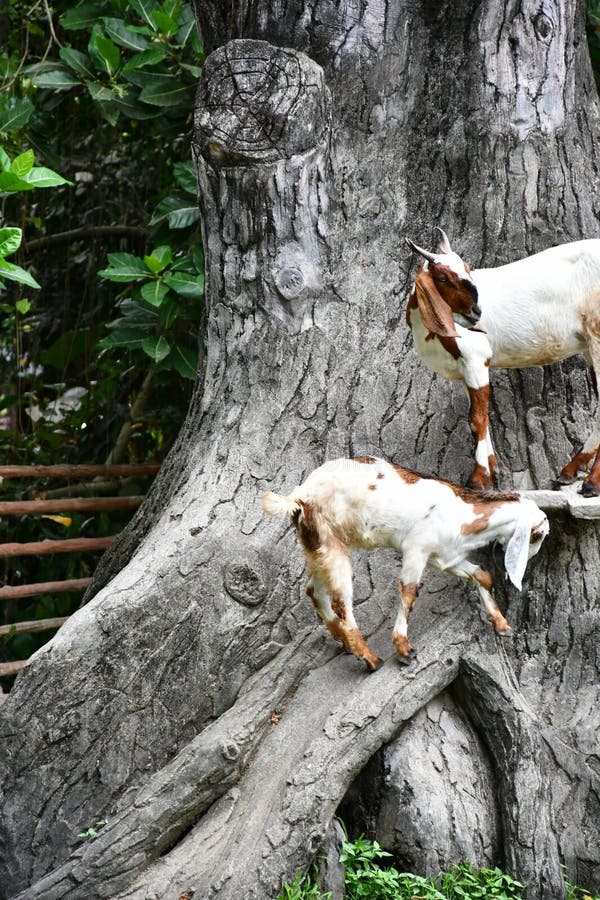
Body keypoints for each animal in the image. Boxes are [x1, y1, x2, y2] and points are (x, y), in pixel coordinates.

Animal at [262, 456, 548, 671]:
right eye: (537, 535)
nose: (533, 559)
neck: (463, 516)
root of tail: (299, 497)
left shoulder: (444, 557)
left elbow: (482, 575)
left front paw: (501, 625)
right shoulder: (416, 550)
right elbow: (409, 593)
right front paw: (403, 648)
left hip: (318, 549)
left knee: (313, 590)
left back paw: (342, 639)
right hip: (331, 547)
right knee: (341, 603)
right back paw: (369, 658)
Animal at [405, 229, 600, 495]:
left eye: (467, 269)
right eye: (443, 277)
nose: (477, 312)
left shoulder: (476, 359)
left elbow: (477, 419)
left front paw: (479, 479)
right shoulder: (465, 369)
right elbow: (478, 417)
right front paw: (492, 468)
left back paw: (591, 483)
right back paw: (570, 471)